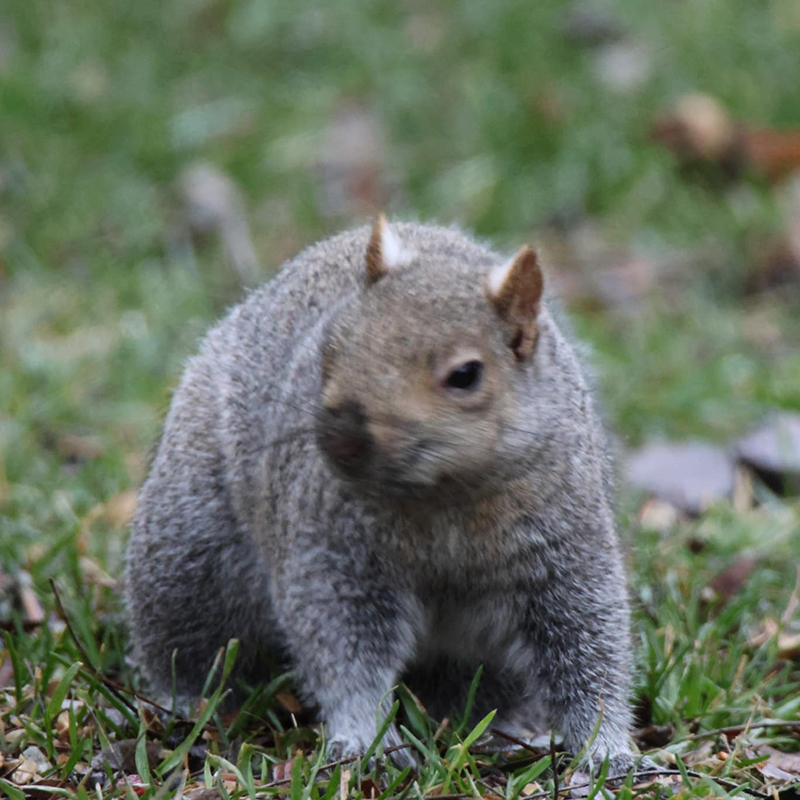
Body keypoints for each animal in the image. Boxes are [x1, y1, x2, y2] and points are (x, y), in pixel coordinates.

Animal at [125, 217, 650, 776]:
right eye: (328, 350)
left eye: (466, 374)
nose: (342, 440)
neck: (445, 495)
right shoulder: (333, 552)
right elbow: (342, 645)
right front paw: (363, 738)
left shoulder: (563, 546)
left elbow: (587, 644)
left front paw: (606, 748)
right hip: (188, 557)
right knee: (190, 646)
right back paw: (185, 702)